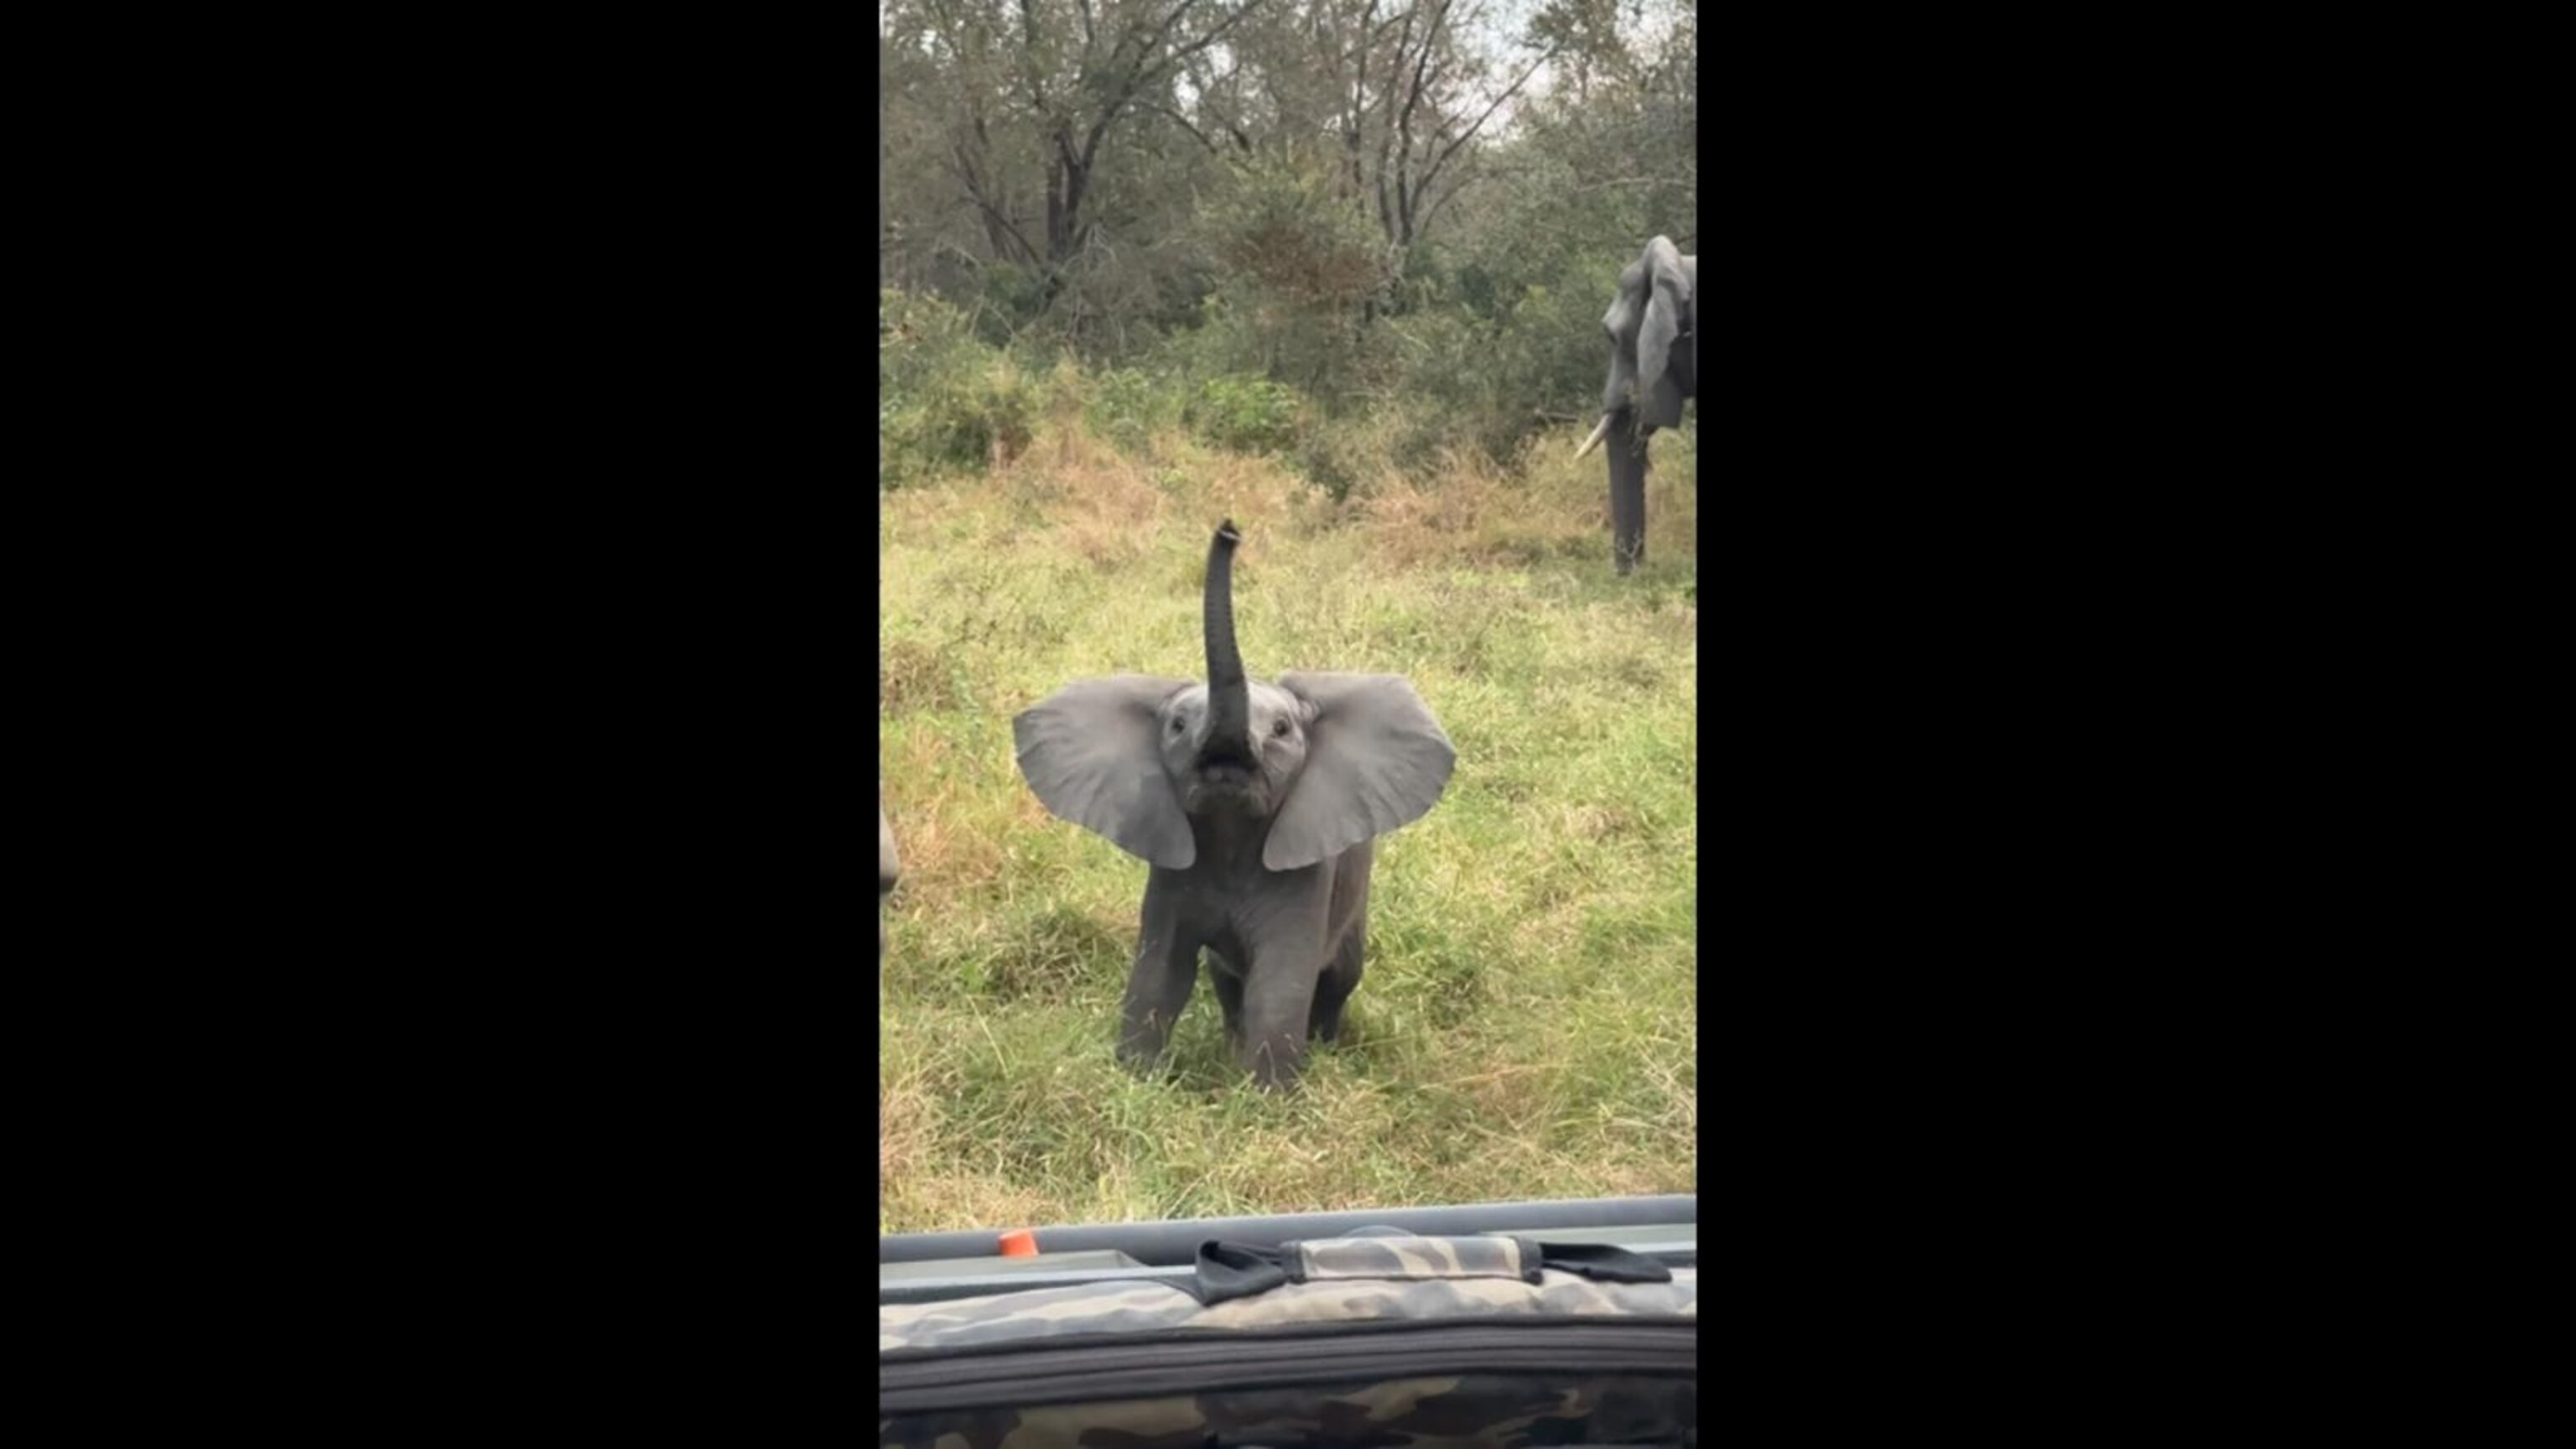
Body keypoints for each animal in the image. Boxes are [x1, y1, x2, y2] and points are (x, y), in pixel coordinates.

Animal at [1011, 521, 1456, 1090]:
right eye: (1178, 726)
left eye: (1283, 729)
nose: (1230, 530)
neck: (1231, 829)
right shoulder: (1174, 860)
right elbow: (1161, 970)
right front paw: (1137, 1082)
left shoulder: (1307, 870)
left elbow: (1281, 979)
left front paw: (1264, 1099)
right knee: (1227, 979)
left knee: (1339, 976)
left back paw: (1321, 1051)